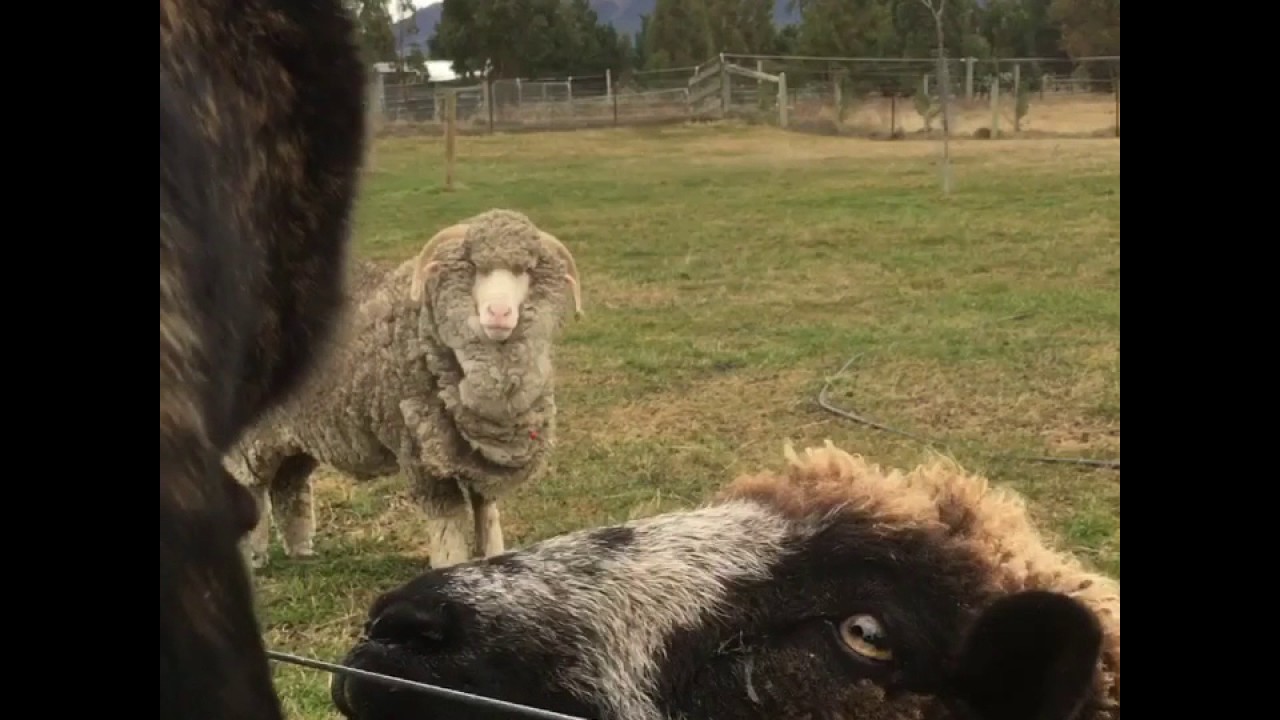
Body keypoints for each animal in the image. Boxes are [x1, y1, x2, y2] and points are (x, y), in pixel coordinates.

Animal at [225, 209, 584, 571]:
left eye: (527, 270)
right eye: (472, 265)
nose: (499, 313)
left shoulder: (478, 462)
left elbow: (488, 515)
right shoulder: (420, 453)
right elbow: (448, 524)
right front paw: (449, 569)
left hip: (298, 433)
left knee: (289, 484)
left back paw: (301, 551)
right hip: (255, 436)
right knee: (254, 487)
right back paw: (254, 557)